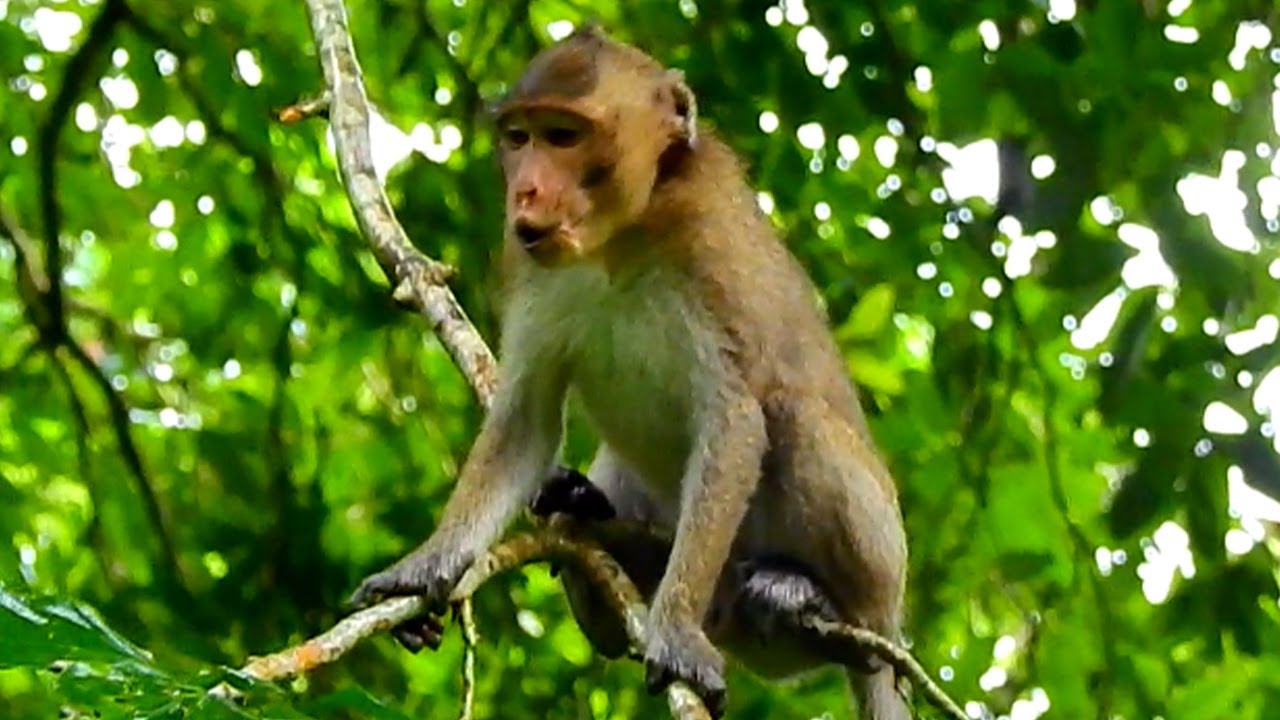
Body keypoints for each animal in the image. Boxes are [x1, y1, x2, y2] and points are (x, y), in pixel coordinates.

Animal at [350, 26, 910, 720]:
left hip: (882, 563)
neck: (618, 241)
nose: (524, 191)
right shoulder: (530, 269)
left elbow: (735, 420)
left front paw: (675, 631)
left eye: (563, 137)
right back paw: (590, 545)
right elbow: (524, 420)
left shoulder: (710, 251)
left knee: (795, 418)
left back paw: (812, 599)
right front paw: (426, 566)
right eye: (519, 138)